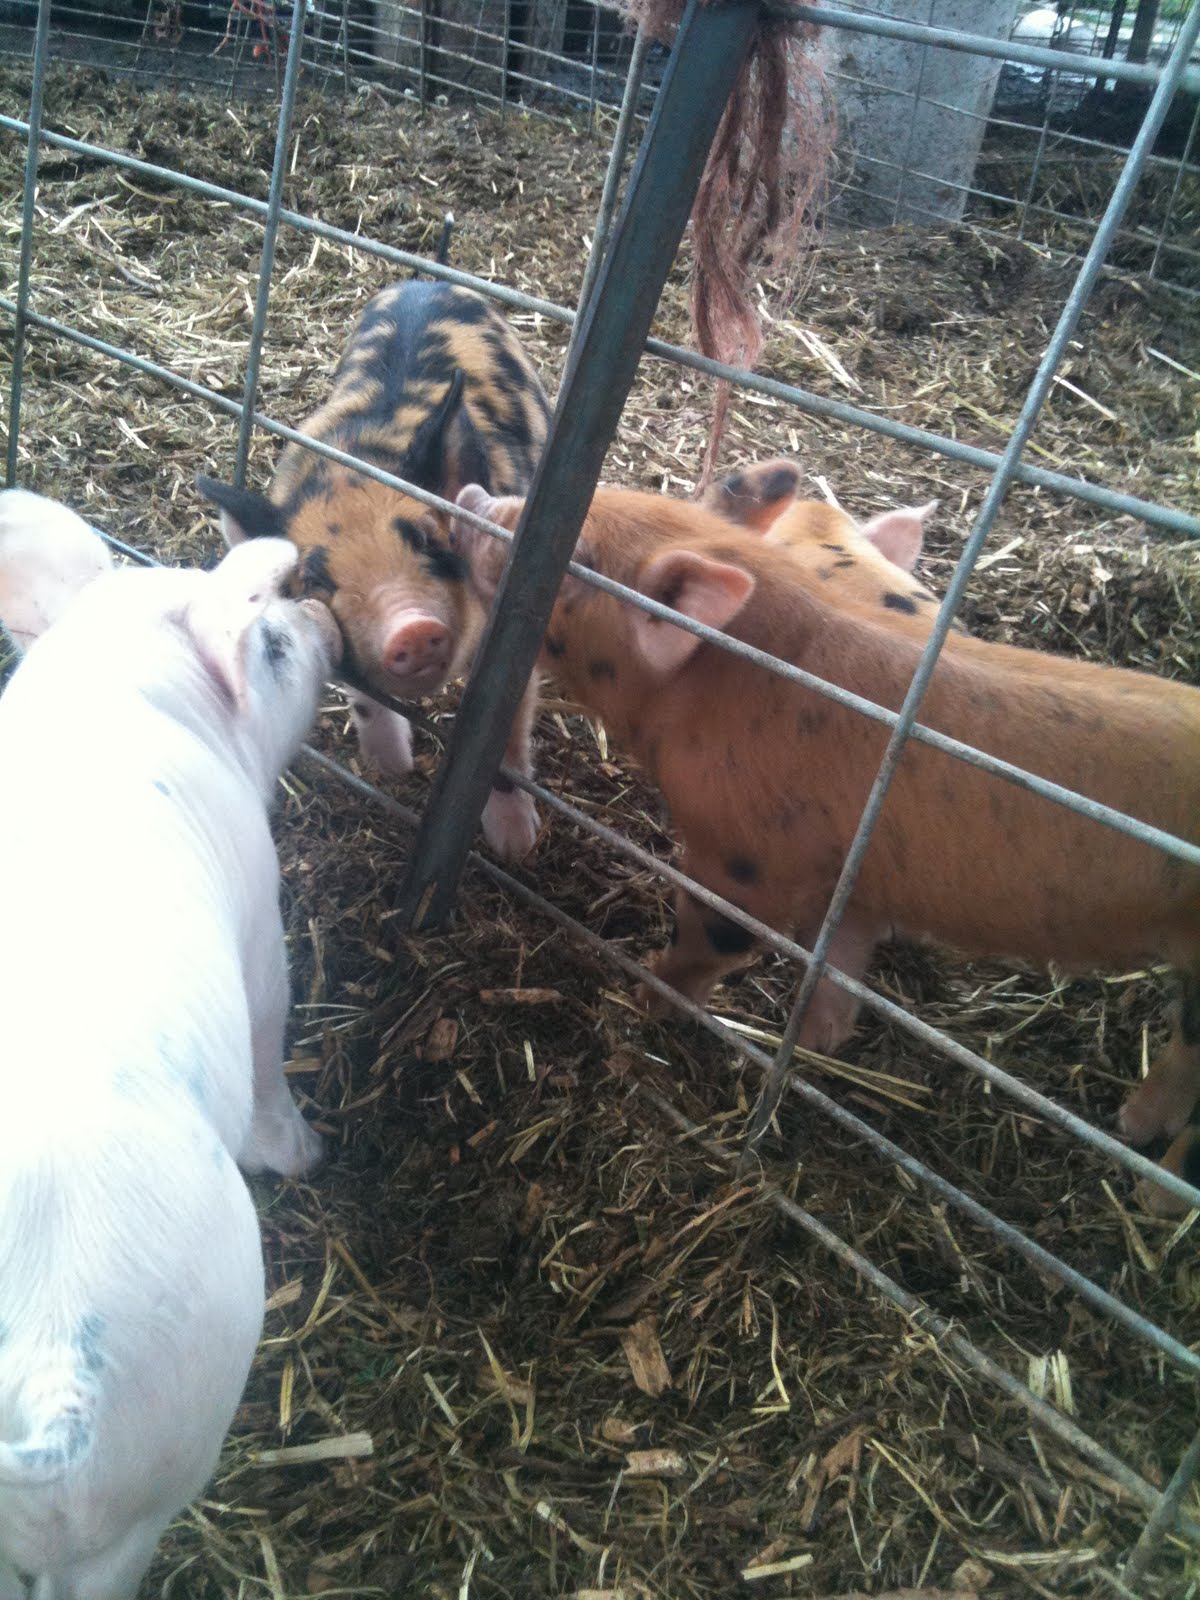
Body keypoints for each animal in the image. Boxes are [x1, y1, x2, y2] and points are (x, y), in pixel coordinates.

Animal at [0, 523, 340, 1600]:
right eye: (270, 641)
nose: (326, 611)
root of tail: (55, 1371)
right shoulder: (261, 925)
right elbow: (272, 1042)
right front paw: (309, 1155)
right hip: (154, 1463)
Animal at [196, 279, 553, 862]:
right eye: (319, 579)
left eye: (428, 538)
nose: (411, 627)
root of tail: (429, 280)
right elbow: (366, 695)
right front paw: (391, 768)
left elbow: (501, 743)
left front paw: (515, 847)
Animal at [452, 464, 1200, 1209]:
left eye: (580, 558)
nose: (472, 497)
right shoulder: (855, 877)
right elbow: (837, 961)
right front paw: (816, 1045)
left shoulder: (748, 861)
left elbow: (711, 942)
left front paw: (646, 999)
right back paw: (1135, 1132)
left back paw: (1150, 1186)